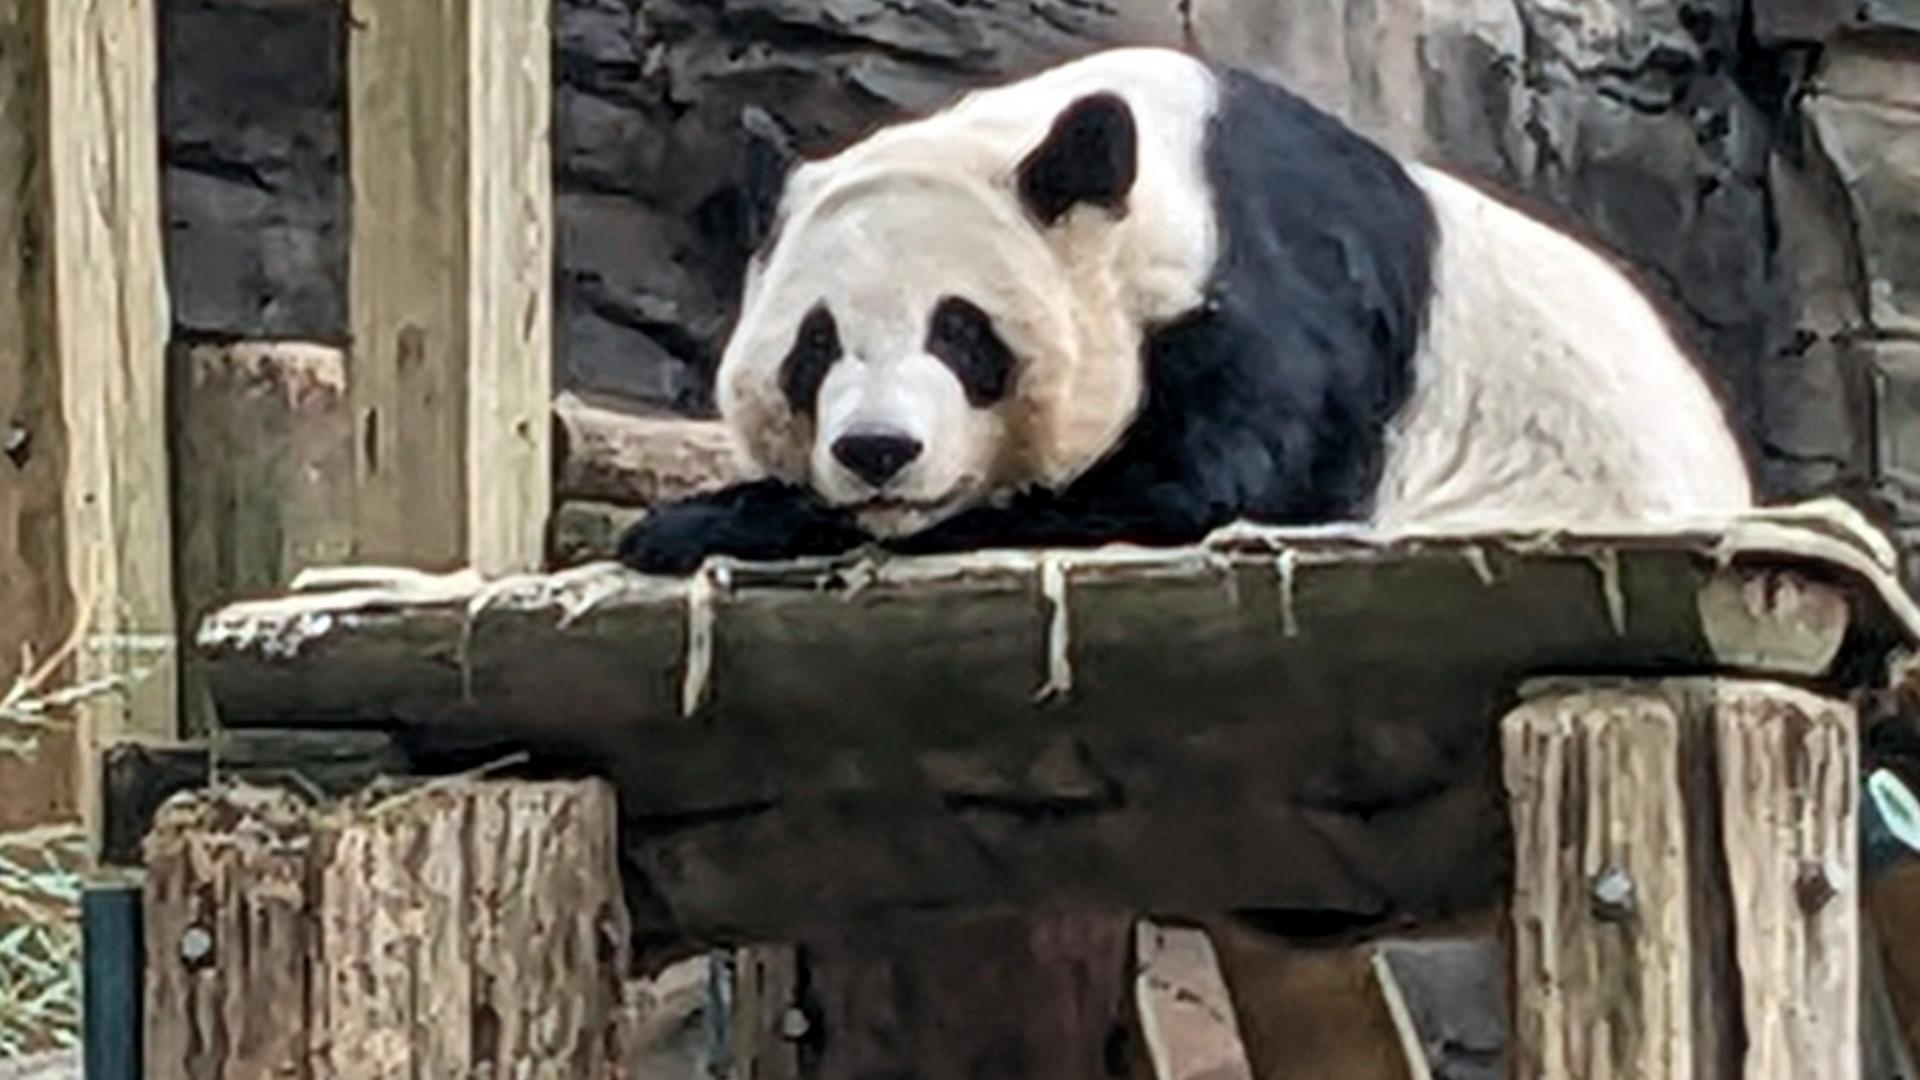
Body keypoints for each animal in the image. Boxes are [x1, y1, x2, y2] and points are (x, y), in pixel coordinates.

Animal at [617, 46, 1753, 575]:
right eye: (814, 347)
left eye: (962, 333)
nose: (878, 452)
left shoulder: (1279, 304)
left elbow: (1185, 492)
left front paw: (700, 521)